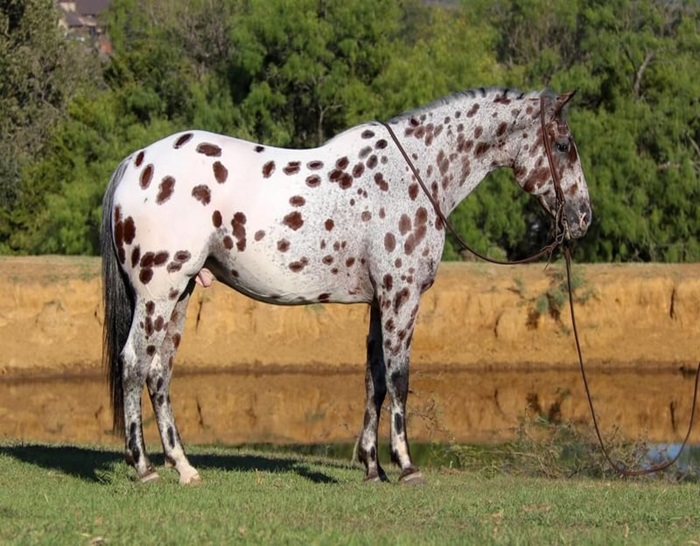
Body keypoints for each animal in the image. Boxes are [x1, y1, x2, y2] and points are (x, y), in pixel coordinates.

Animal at [101, 87, 592, 485]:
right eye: (563, 145)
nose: (583, 217)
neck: (414, 175)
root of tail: (136, 162)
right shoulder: (401, 296)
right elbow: (398, 377)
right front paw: (406, 466)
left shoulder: (380, 301)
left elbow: (374, 380)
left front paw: (373, 467)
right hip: (158, 294)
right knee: (134, 364)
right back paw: (143, 467)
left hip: (179, 294)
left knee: (159, 372)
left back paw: (183, 467)